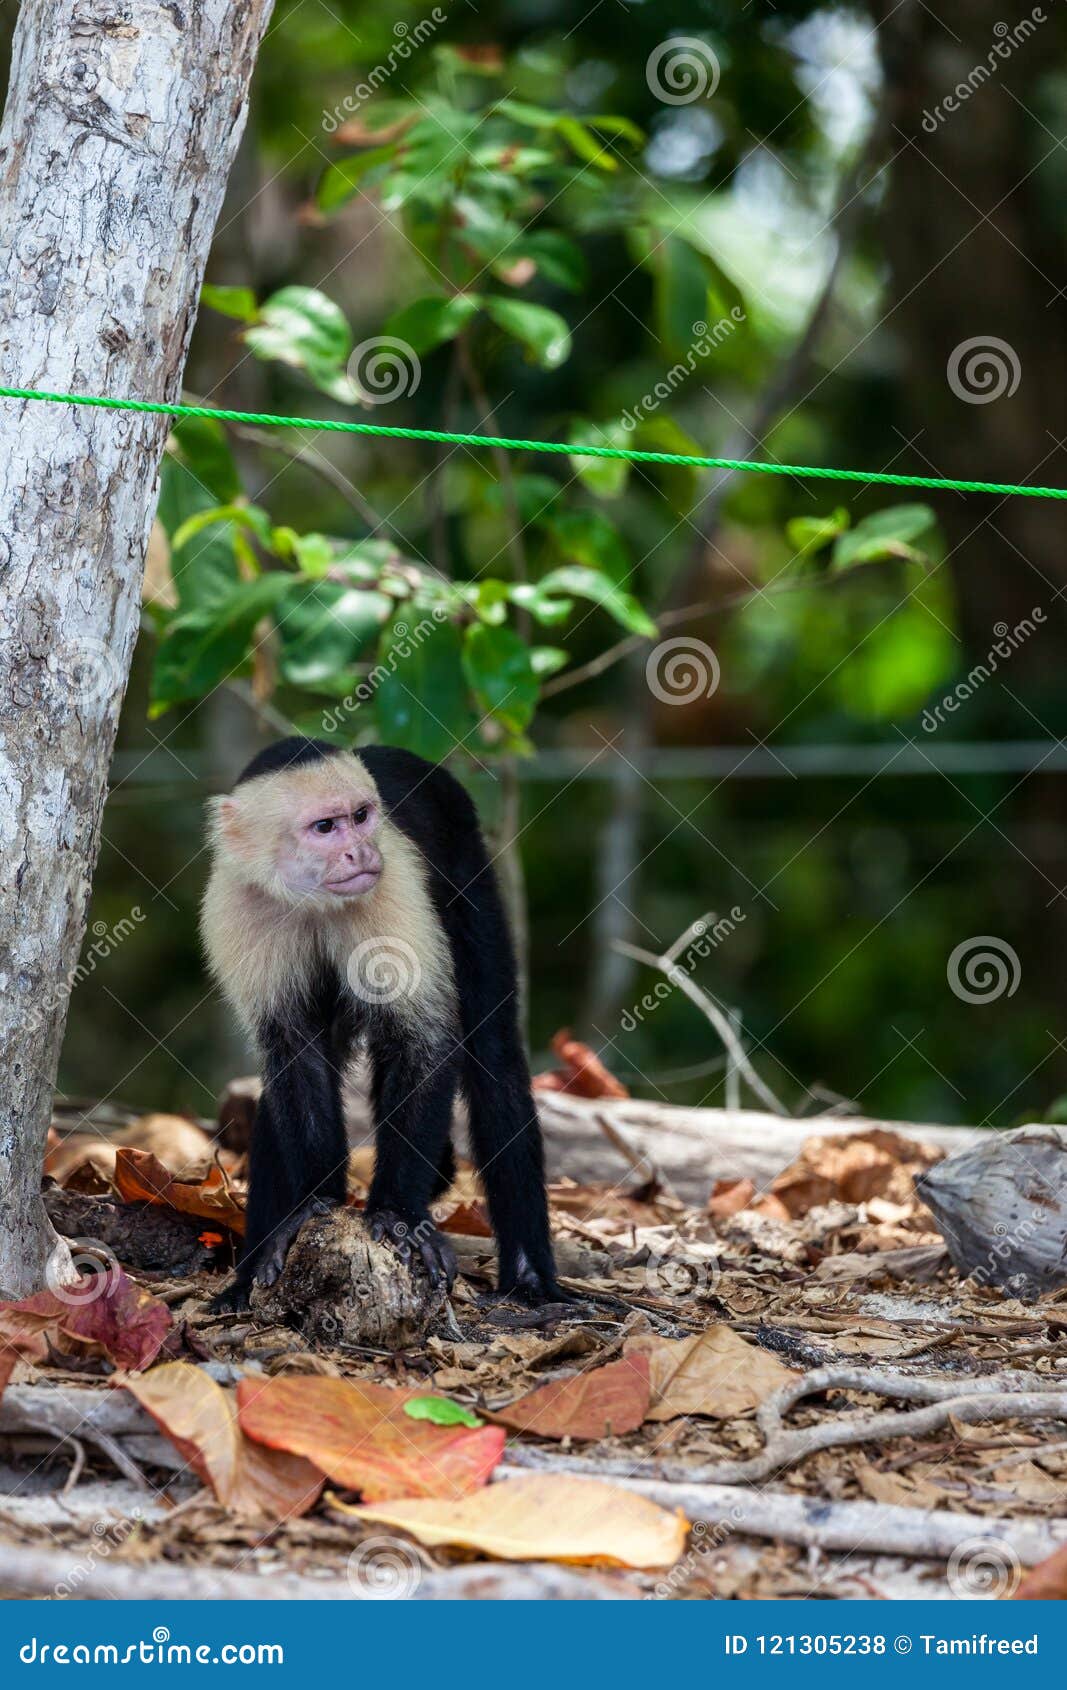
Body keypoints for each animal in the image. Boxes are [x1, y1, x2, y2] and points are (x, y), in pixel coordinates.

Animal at [201, 736, 565, 1312]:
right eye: (325, 827)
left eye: (361, 816)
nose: (362, 852)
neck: (310, 897)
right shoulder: (236, 902)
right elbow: (293, 1049)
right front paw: (313, 1204)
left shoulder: (393, 887)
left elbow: (425, 1039)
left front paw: (396, 1214)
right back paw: (248, 1274)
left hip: (468, 860)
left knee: (493, 1047)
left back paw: (530, 1277)